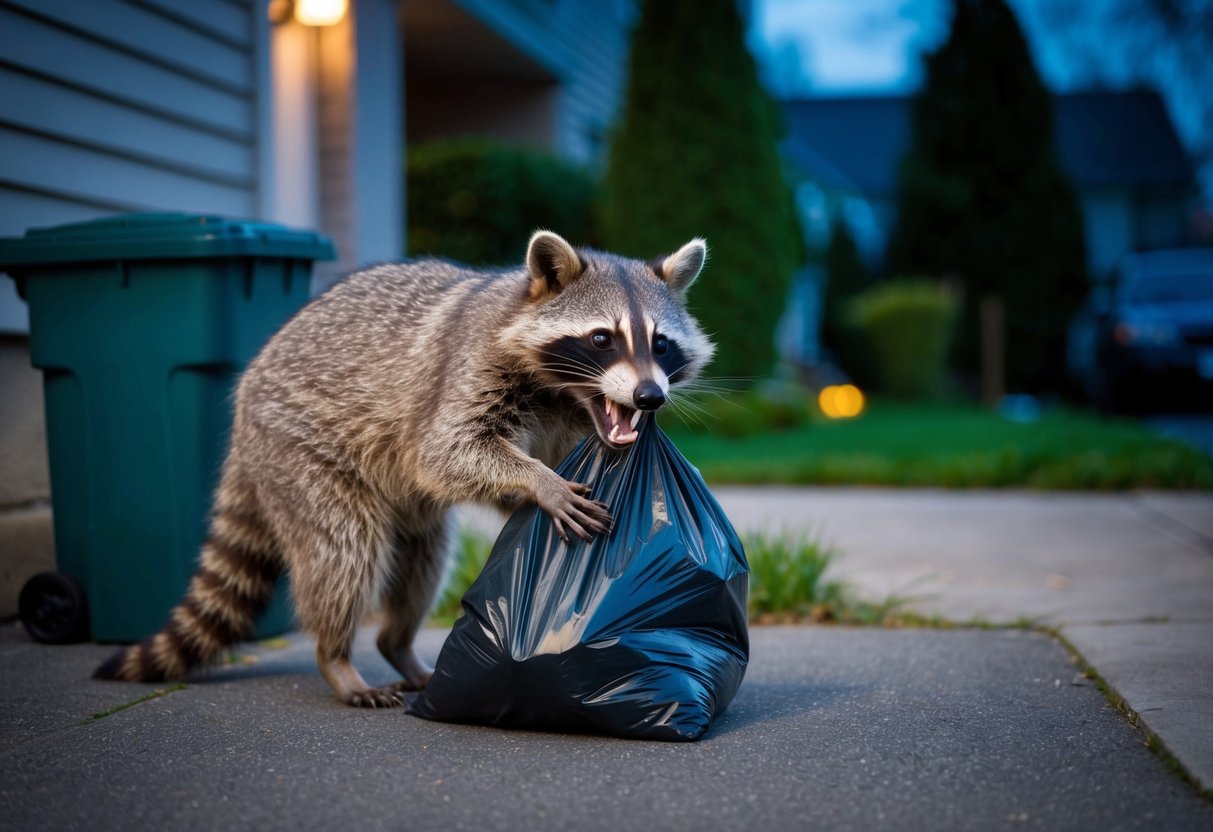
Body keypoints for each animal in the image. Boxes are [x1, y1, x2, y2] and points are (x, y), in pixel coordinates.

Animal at [95, 231, 713, 707]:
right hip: (296, 449)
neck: (565, 395)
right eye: (602, 338)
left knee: (423, 558)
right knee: (344, 550)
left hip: (402, 507)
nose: (650, 396)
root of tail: (243, 418)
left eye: (661, 343)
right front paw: (541, 483)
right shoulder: (468, 367)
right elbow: (445, 450)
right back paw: (336, 656)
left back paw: (398, 644)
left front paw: (539, 484)